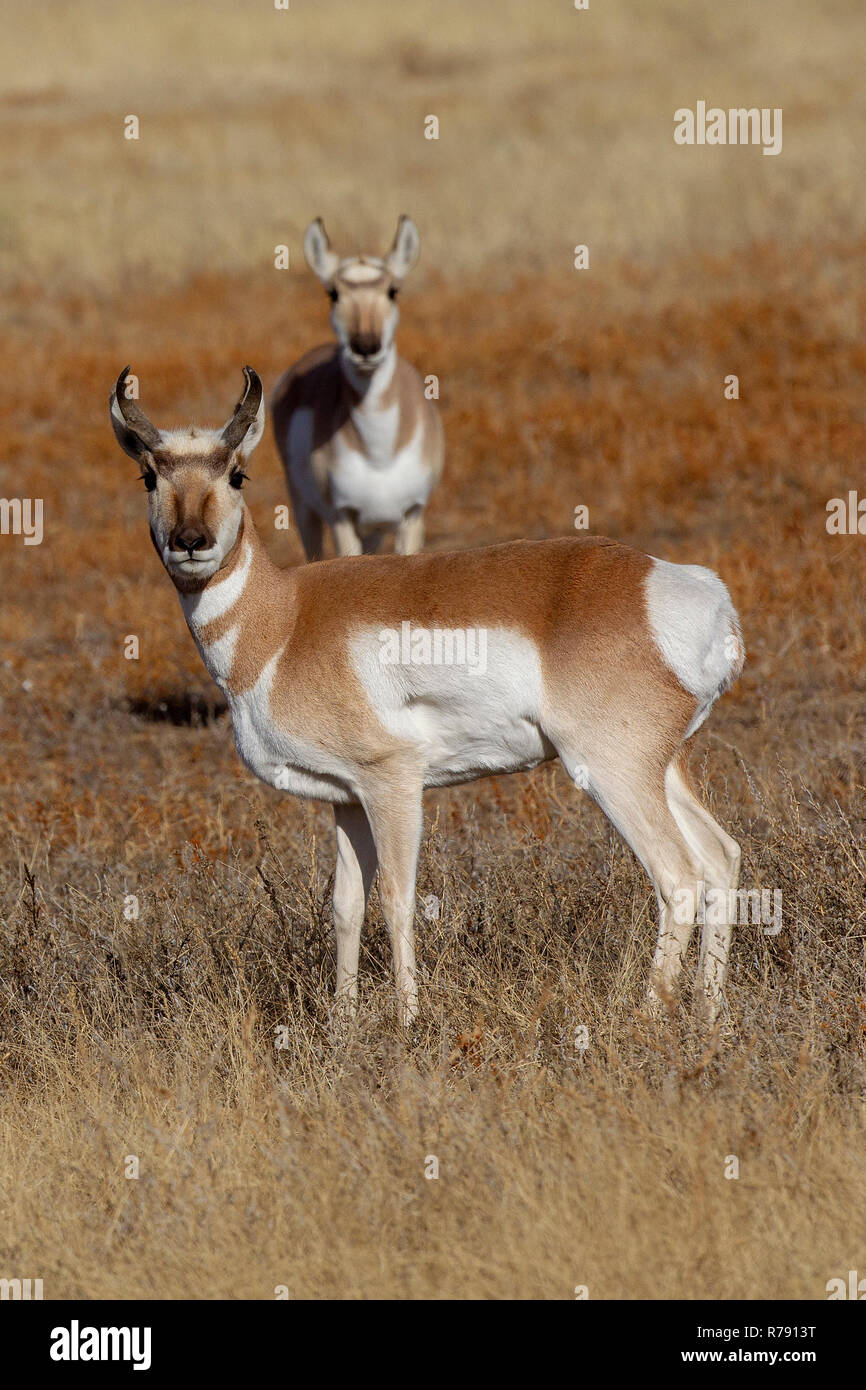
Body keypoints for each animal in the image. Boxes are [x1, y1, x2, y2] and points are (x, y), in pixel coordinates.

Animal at [110, 366, 745, 1027]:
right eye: (150, 475)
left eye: (237, 472)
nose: (191, 540)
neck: (284, 620)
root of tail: (689, 590)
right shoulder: (346, 799)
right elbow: (346, 904)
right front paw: (343, 1023)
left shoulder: (392, 781)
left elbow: (396, 896)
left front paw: (408, 1018)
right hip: (660, 768)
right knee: (721, 857)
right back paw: (708, 1013)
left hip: (612, 772)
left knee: (678, 874)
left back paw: (647, 1014)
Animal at [272, 215, 444, 560]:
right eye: (333, 293)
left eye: (393, 290)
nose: (365, 346)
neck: (379, 454)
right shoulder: (342, 517)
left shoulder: (412, 514)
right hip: (304, 510)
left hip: (374, 530)